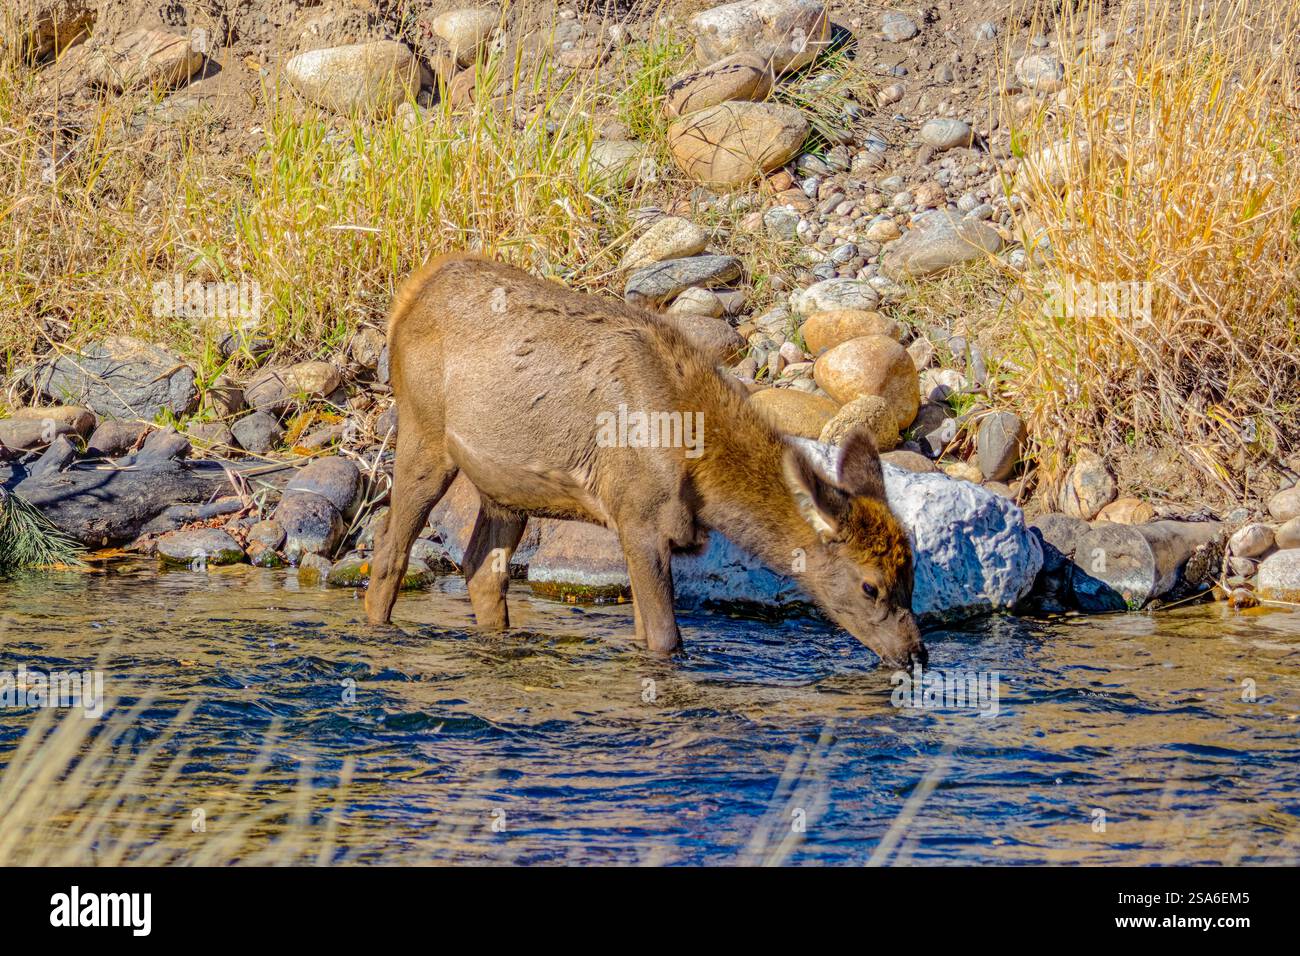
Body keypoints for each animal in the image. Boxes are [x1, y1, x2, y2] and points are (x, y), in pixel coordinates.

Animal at [364, 253, 927, 669]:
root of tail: (407, 297)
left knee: (482, 569)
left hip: (505, 487)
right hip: (423, 428)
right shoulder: (638, 515)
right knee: (390, 546)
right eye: (870, 585)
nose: (915, 653)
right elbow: (663, 638)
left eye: (912, 577)